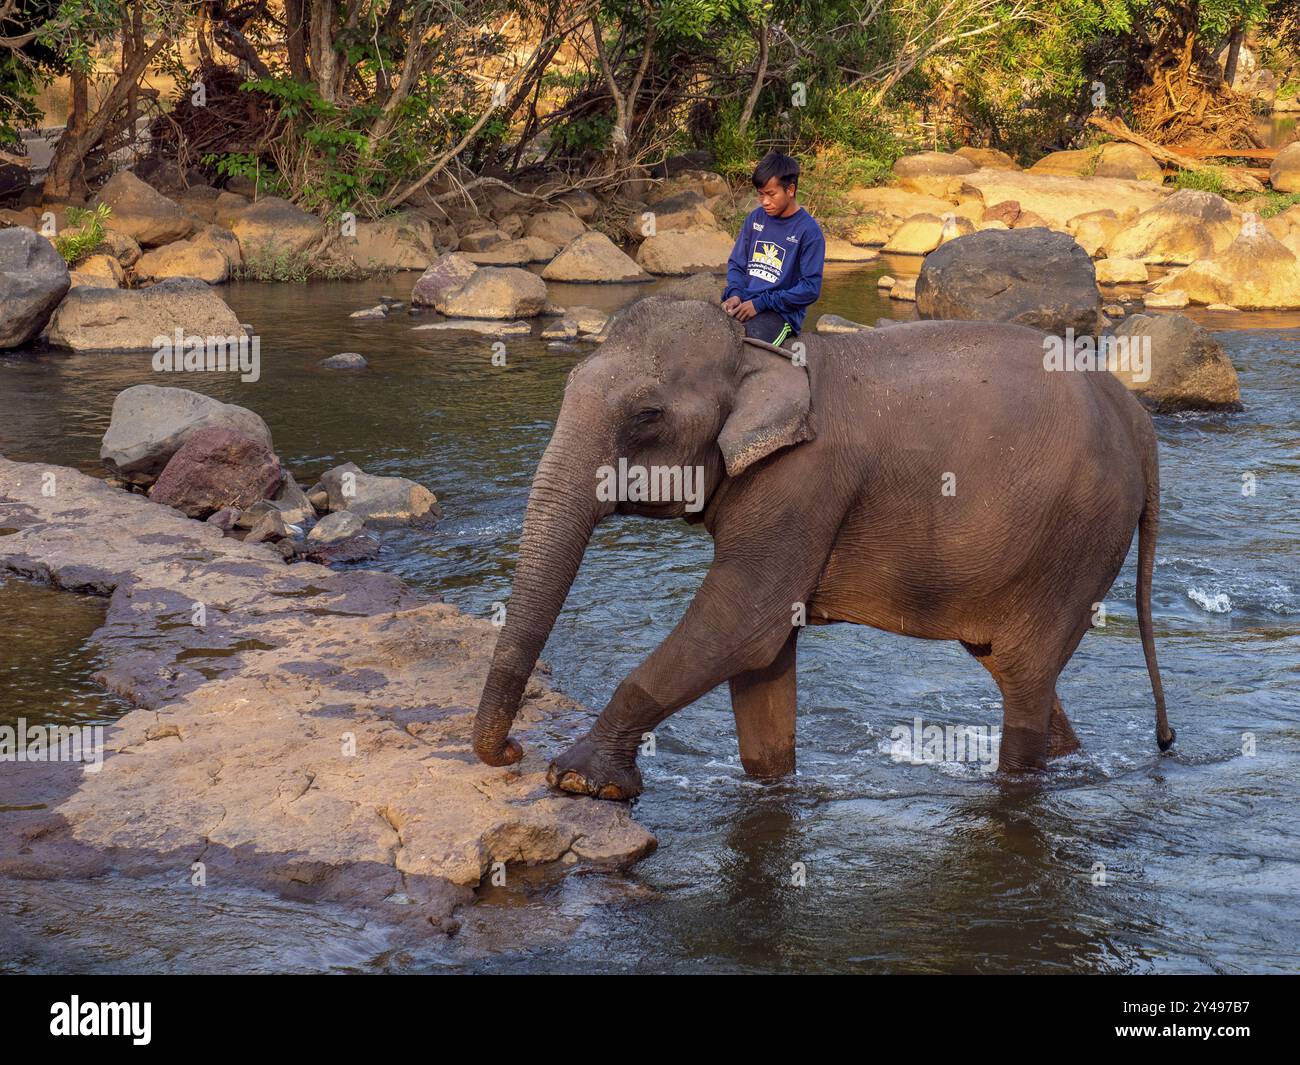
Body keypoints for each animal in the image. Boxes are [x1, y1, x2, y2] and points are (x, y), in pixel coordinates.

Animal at [472, 297, 1174, 799]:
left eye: (647, 414)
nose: (511, 753)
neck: (758, 356)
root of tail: (1137, 419)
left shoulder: (805, 481)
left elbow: (744, 622)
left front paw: (578, 779)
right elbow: (760, 655)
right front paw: (771, 784)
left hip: (1078, 535)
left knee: (1025, 676)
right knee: (1013, 668)